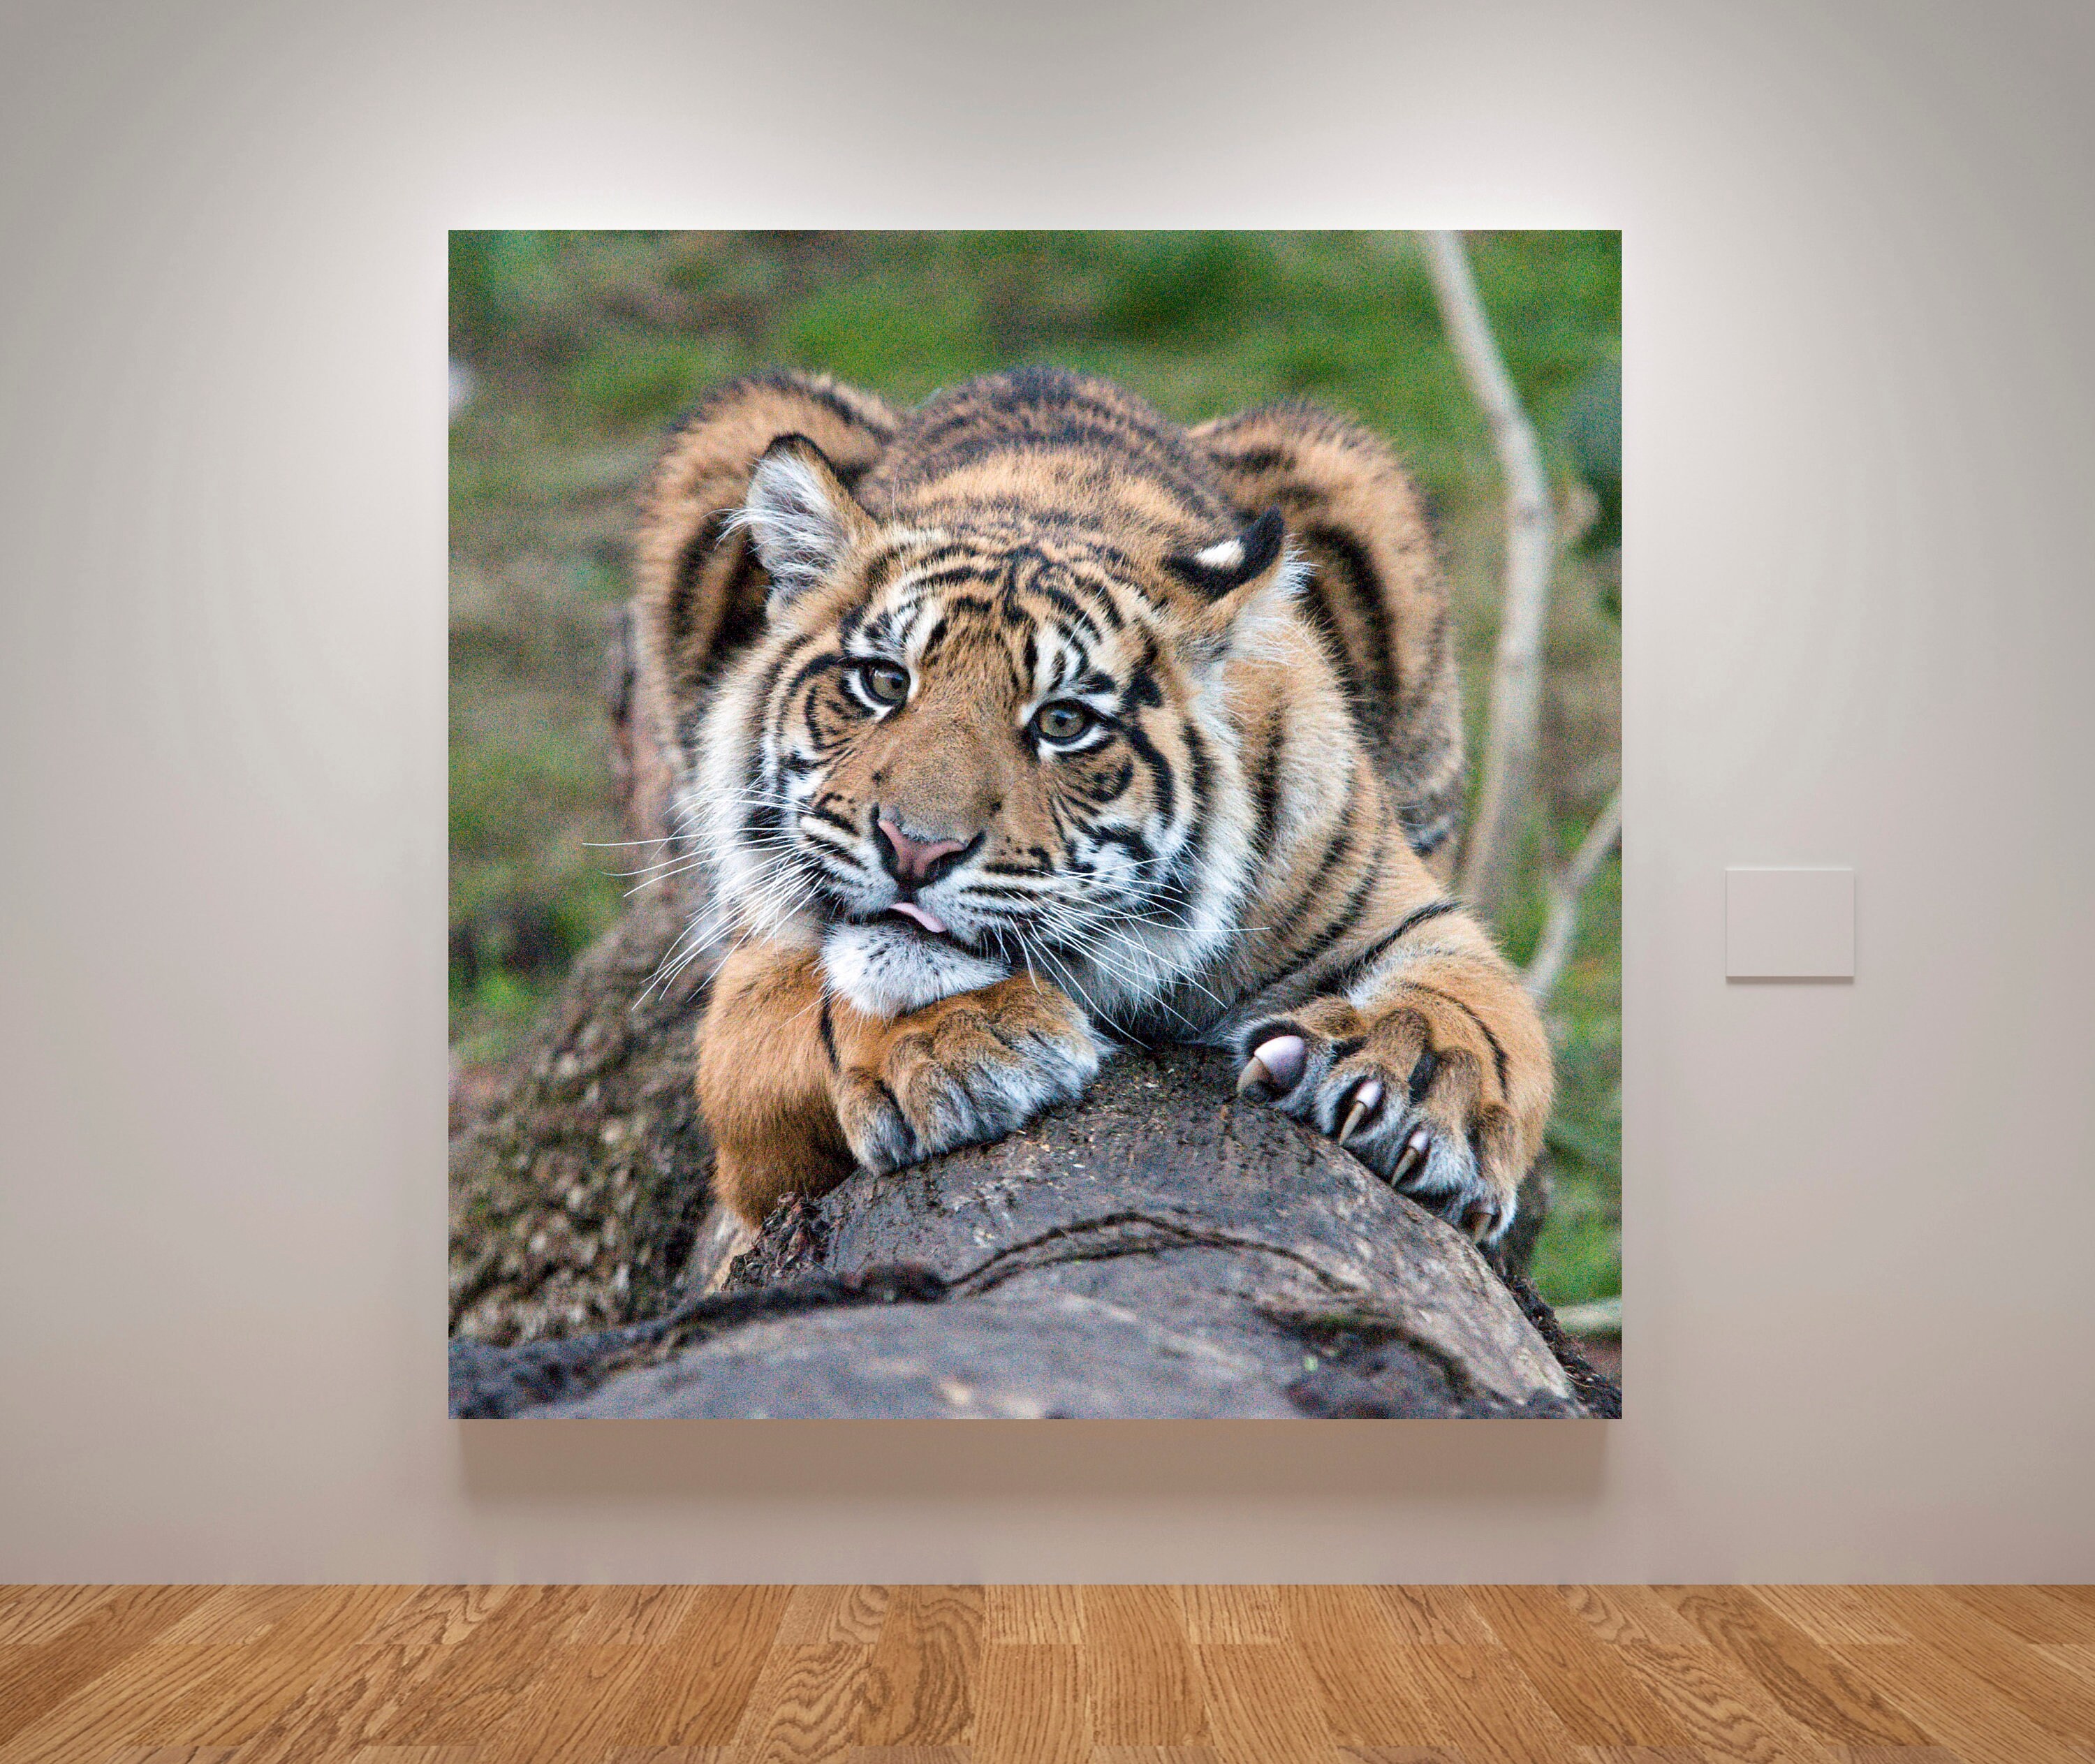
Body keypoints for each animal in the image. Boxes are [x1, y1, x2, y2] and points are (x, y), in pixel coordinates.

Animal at [631, 366, 1552, 1245]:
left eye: (1064, 722)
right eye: (884, 682)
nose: (915, 849)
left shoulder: (1401, 905)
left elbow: (1481, 1011)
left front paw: (1417, 1082)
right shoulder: (750, 983)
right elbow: (817, 1003)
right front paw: (967, 1040)